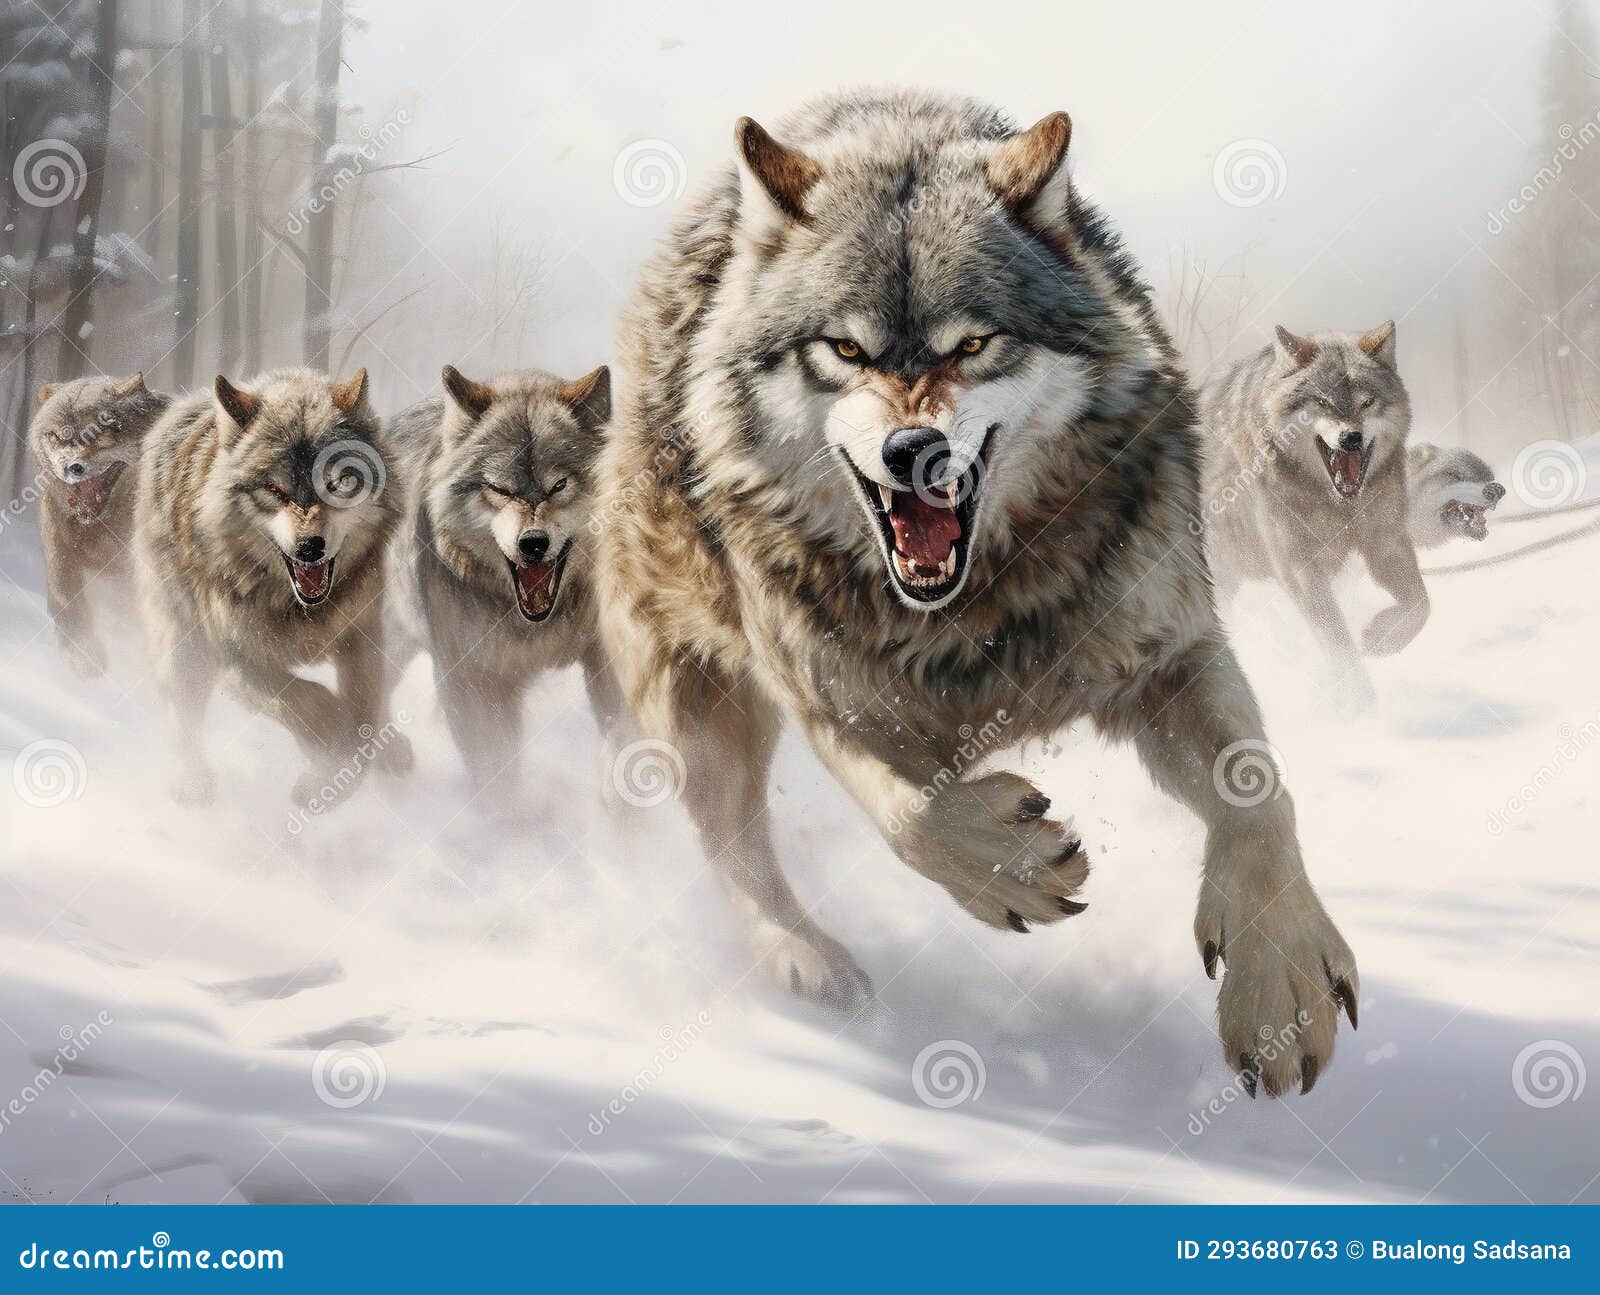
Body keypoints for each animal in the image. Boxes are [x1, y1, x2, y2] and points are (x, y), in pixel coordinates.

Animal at [30, 373, 170, 676]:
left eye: (101, 431)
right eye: (56, 435)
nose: (71, 467)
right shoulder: (59, 545)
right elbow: (65, 598)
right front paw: (82, 657)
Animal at [133, 367, 411, 804]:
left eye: (337, 484)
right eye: (275, 490)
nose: (310, 546)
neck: (302, 611)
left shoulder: (362, 634)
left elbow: (365, 710)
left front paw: (338, 771)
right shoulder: (235, 658)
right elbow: (308, 703)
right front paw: (329, 756)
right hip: (184, 644)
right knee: (184, 713)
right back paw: (192, 784)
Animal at [387, 363, 622, 789]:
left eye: (559, 485)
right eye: (499, 488)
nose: (533, 543)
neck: (540, 628)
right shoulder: (473, 681)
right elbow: (495, 773)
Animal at [597, 89, 1357, 1097]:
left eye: (974, 343)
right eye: (845, 348)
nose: (911, 451)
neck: (967, 617)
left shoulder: (1175, 650)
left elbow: (1260, 794)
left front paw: (1281, 990)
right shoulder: (825, 698)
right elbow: (910, 813)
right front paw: (1013, 868)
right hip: (698, 701)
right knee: (729, 839)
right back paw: (802, 956)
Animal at [1201, 324, 1428, 710]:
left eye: (1367, 402)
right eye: (1322, 402)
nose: (1351, 438)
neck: (1339, 506)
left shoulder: (1386, 542)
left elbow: (1421, 605)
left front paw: (1383, 639)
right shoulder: (1298, 565)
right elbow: (1335, 636)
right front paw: (1358, 702)